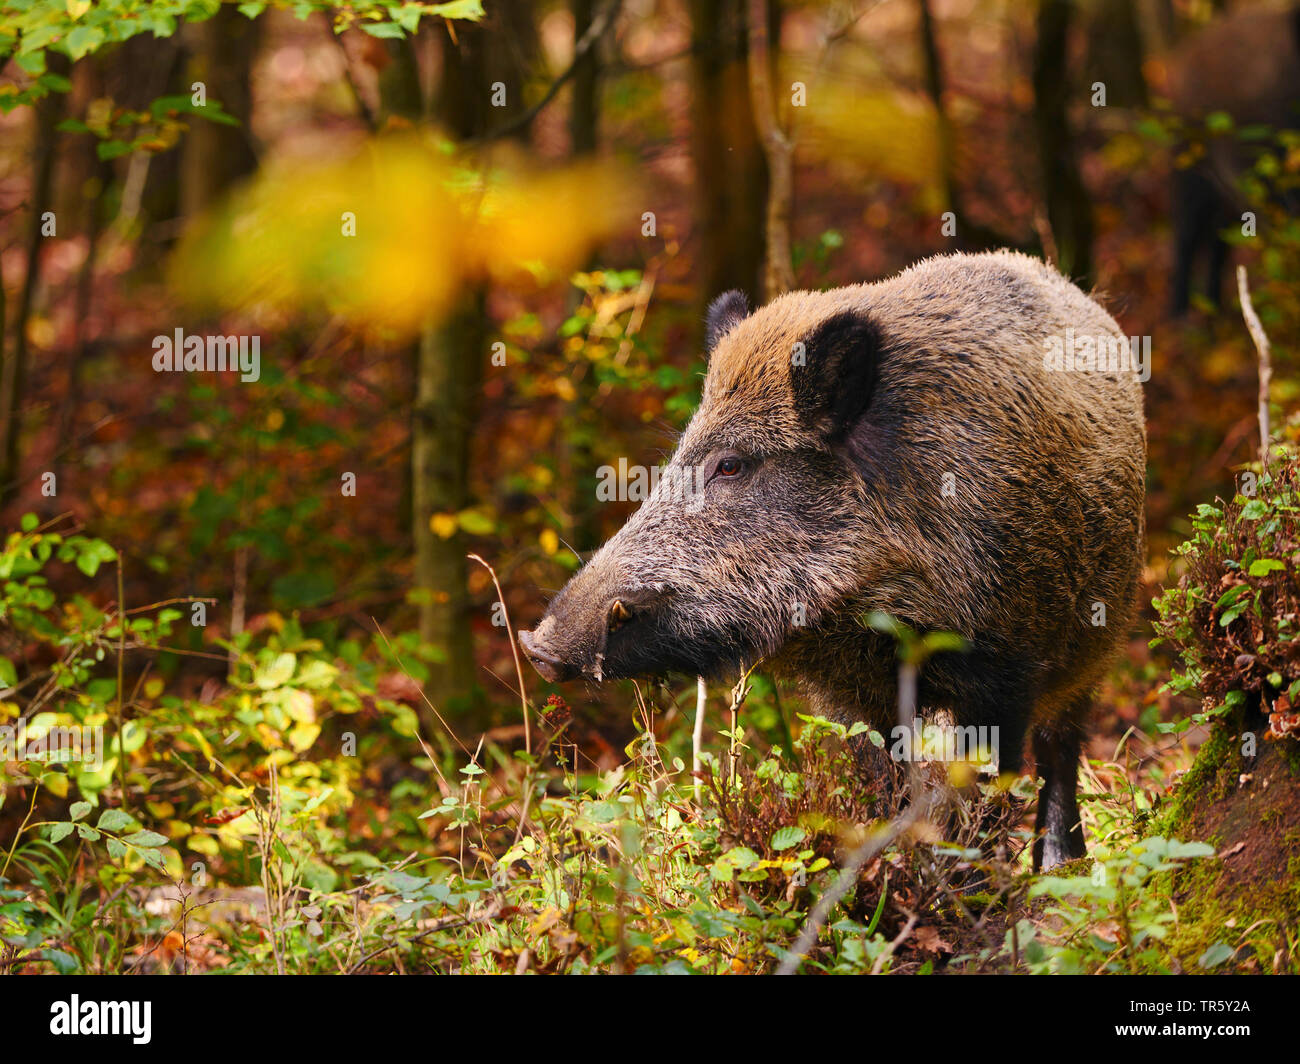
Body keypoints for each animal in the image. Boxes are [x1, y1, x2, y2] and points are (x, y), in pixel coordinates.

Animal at [519, 250, 1147, 870]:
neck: (881, 605)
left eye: (731, 464)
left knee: (1062, 739)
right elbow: (881, 779)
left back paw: (1062, 865)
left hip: (1101, 623)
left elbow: (990, 784)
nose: (538, 645)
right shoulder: (846, 690)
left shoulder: (1005, 664)